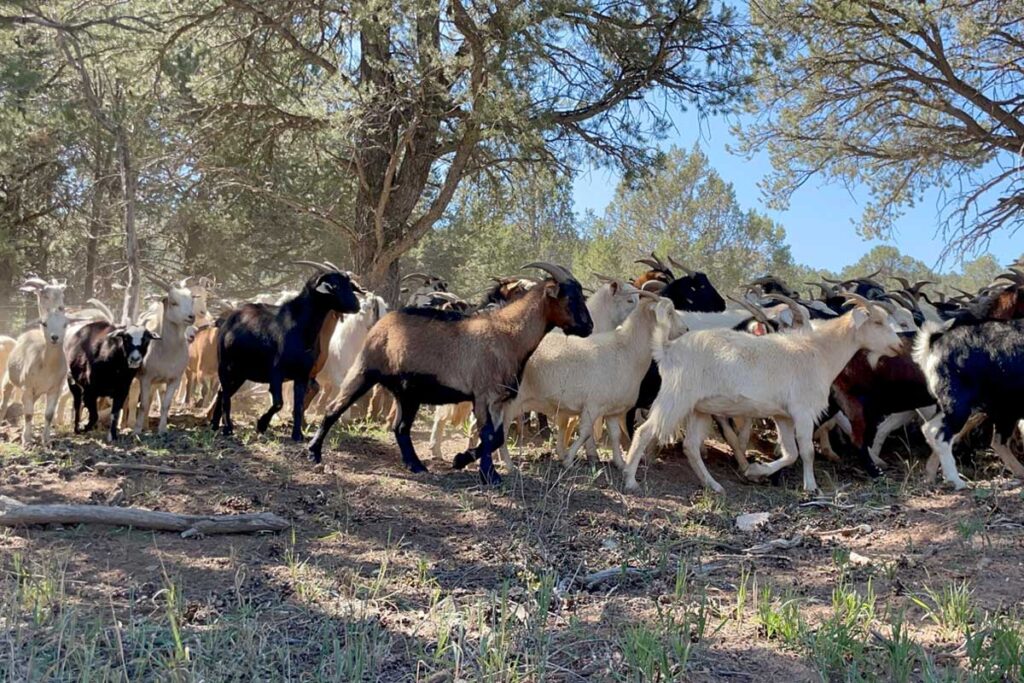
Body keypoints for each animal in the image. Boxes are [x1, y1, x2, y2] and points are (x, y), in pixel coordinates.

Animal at [212, 263, 362, 440]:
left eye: (349, 285)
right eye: (335, 286)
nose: (356, 305)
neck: (300, 327)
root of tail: (226, 321)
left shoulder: (302, 374)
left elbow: (298, 405)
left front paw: (297, 435)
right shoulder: (277, 372)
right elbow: (278, 403)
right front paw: (261, 425)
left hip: (241, 373)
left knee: (222, 392)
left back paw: (214, 424)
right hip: (226, 366)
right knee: (226, 394)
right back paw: (228, 428)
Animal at [307, 262, 594, 486]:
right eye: (569, 297)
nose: (588, 326)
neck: (508, 333)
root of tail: (382, 321)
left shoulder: (500, 400)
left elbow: (496, 436)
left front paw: (469, 463)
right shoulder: (483, 395)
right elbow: (488, 434)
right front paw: (483, 472)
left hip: (408, 394)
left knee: (400, 428)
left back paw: (416, 465)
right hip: (365, 371)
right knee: (333, 408)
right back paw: (314, 453)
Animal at [622, 294, 903, 493]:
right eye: (877, 321)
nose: (899, 346)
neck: (818, 351)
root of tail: (668, 348)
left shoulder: (783, 416)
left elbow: (791, 453)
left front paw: (756, 471)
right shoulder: (802, 411)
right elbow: (807, 451)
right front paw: (811, 487)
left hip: (699, 408)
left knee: (691, 447)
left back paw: (713, 485)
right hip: (676, 397)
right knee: (645, 431)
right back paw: (630, 480)